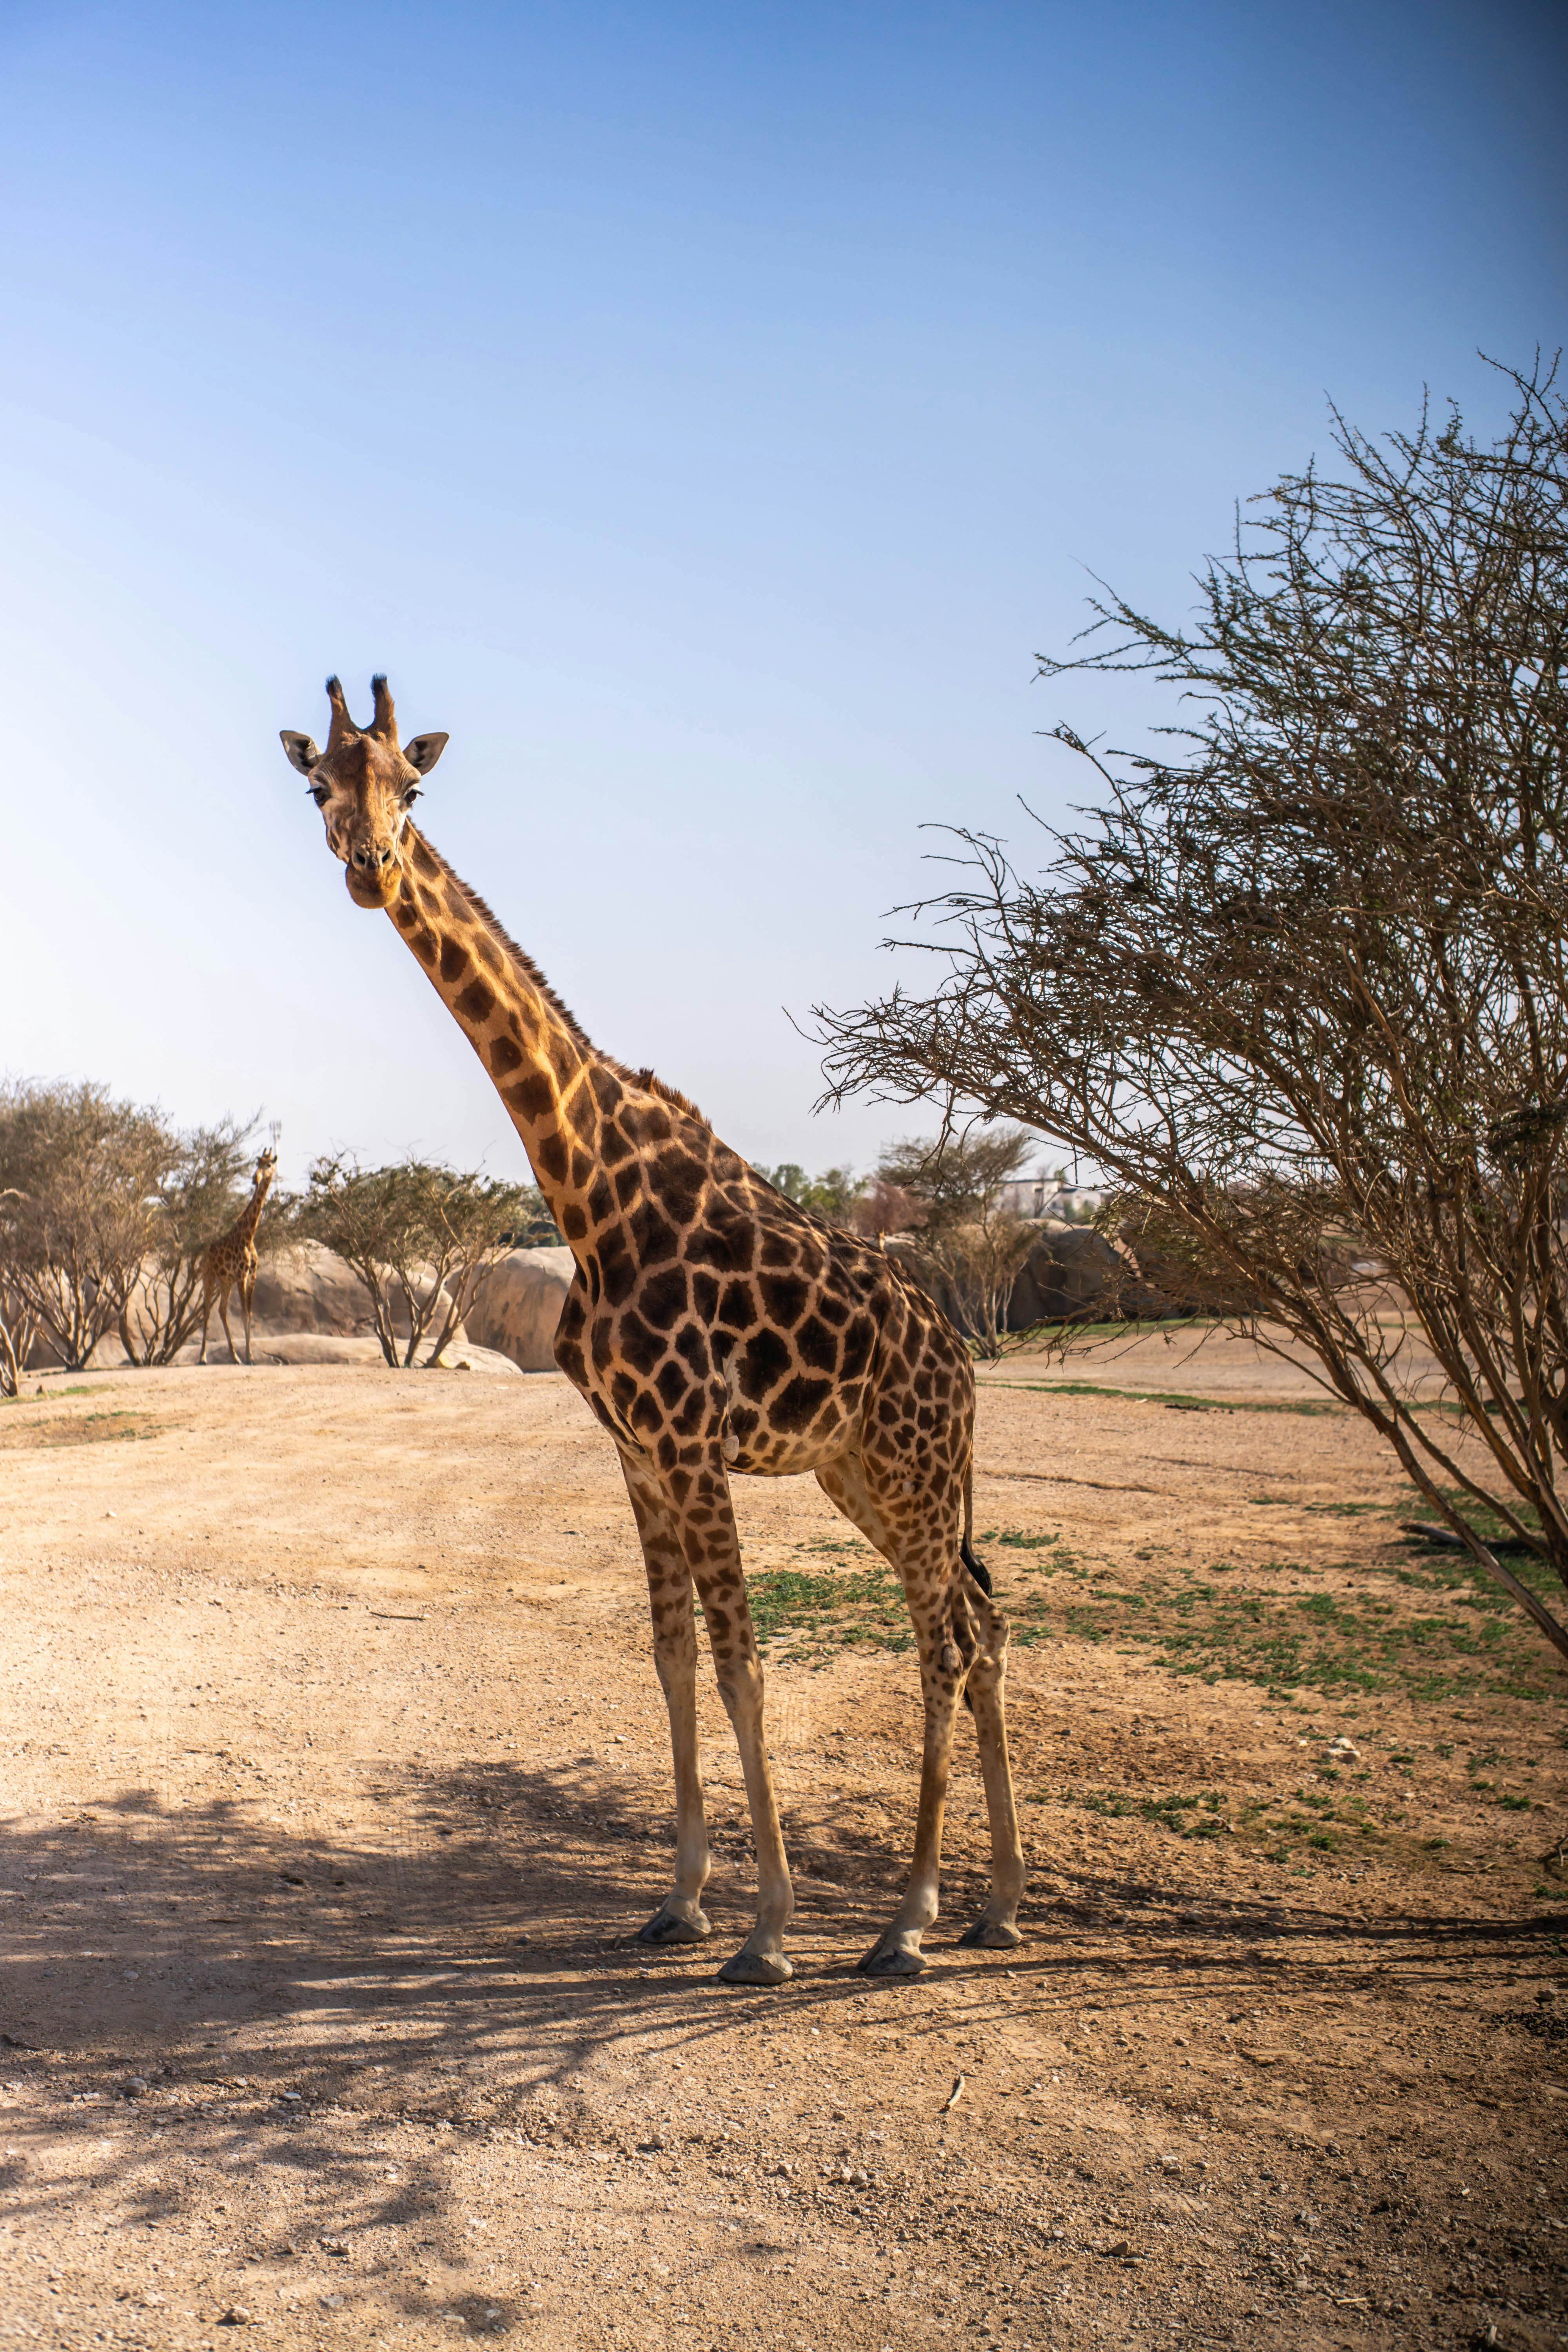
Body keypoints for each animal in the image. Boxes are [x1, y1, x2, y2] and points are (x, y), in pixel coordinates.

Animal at [197, 1149, 278, 1367]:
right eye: (257, 1163)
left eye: (269, 1165)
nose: (255, 1179)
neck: (249, 1235)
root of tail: (203, 1258)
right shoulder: (242, 1276)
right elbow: (243, 1315)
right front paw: (250, 1357)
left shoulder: (251, 1277)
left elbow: (248, 1315)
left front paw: (250, 1357)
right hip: (209, 1277)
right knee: (207, 1311)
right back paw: (203, 1358)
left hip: (226, 1281)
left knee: (222, 1311)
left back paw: (235, 1358)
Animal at [281, 677, 1026, 1983]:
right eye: (318, 784)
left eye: (413, 786)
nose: (372, 867)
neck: (588, 1189)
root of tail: (962, 1360)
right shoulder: (636, 1449)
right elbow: (673, 1657)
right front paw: (681, 1902)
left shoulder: (691, 1441)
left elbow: (740, 1662)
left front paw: (769, 1931)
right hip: (865, 1473)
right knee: (977, 1621)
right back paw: (996, 1903)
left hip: (917, 1465)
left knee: (946, 1640)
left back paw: (909, 1919)